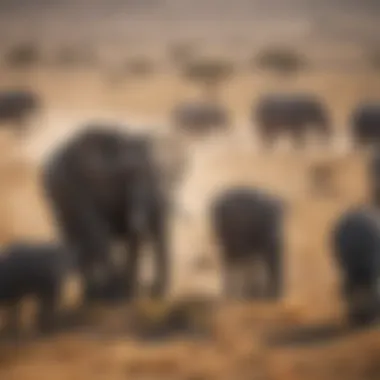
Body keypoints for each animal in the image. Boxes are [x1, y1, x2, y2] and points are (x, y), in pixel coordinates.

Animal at [41, 124, 169, 302]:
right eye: (134, 174)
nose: (151, 290)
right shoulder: (81, 188)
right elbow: (106, 233)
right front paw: (120, 292)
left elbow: (133, 235)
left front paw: (129, 291)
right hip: (63, 190)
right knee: (90, 235)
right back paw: (100, 293)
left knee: (77, 238)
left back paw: (94, 293)